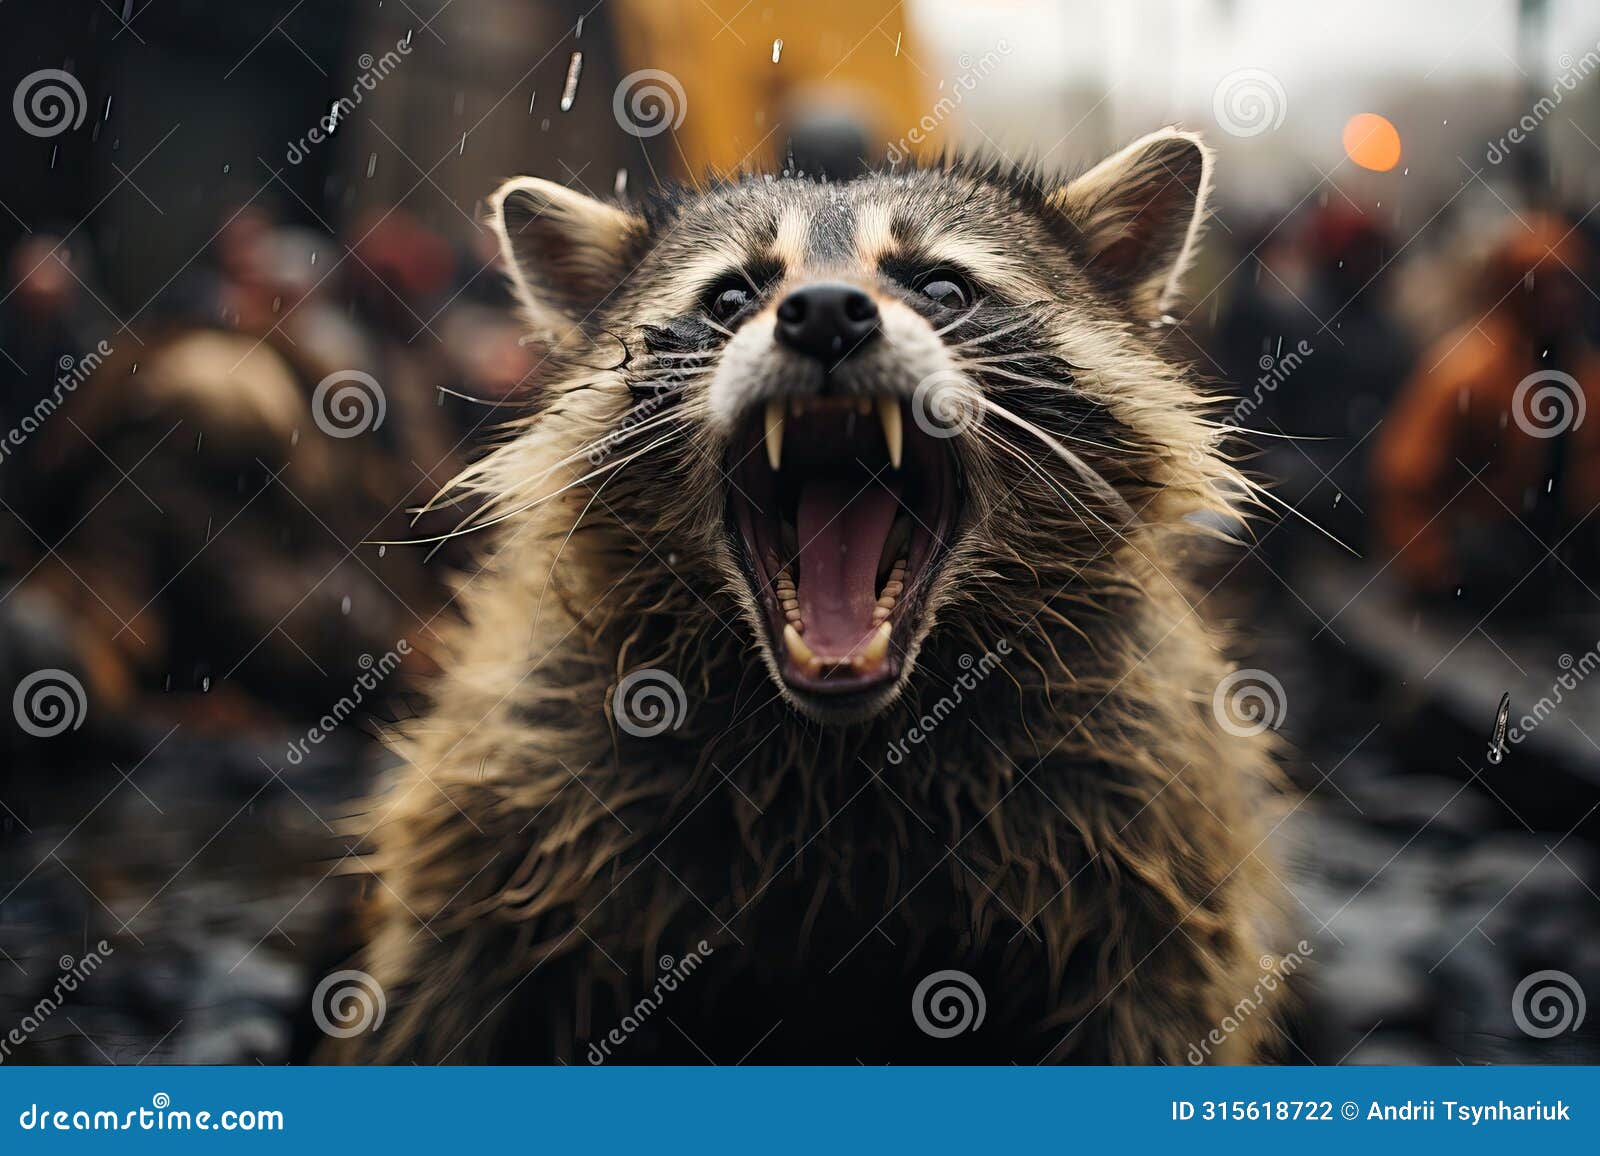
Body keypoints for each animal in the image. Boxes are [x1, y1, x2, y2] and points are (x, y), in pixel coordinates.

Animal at [334, 128, 1288, 1064]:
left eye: (942, 287)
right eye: (730, 298)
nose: (827, 311)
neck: (845, 748)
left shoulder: (1143, 813)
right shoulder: (519, 792)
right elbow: (447, 996)